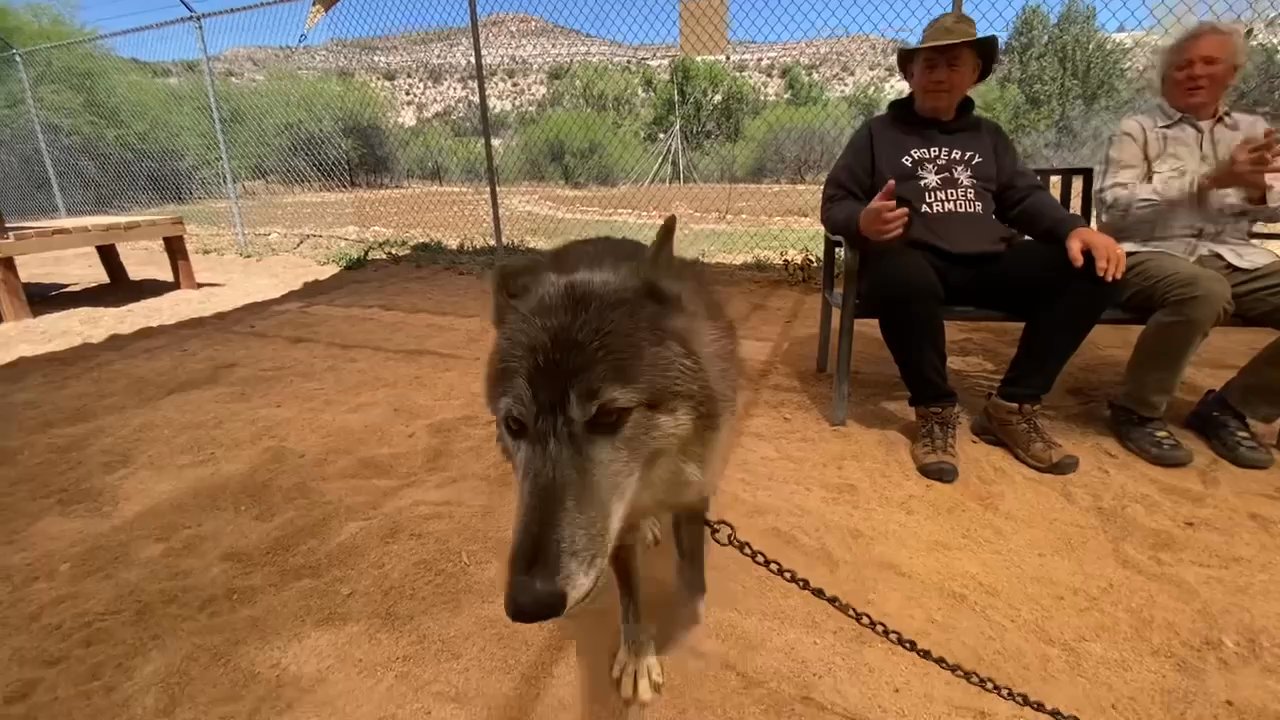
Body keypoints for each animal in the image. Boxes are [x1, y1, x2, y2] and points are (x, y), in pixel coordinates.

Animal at [483, 215, 740, 705]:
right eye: (515, 424)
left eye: (608, 416)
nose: (528, 602)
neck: (656, 472)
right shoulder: (618, 527)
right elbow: (631, 594)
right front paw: (639, 656)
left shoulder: (694, 495)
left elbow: (691, 577)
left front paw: (691, 620)